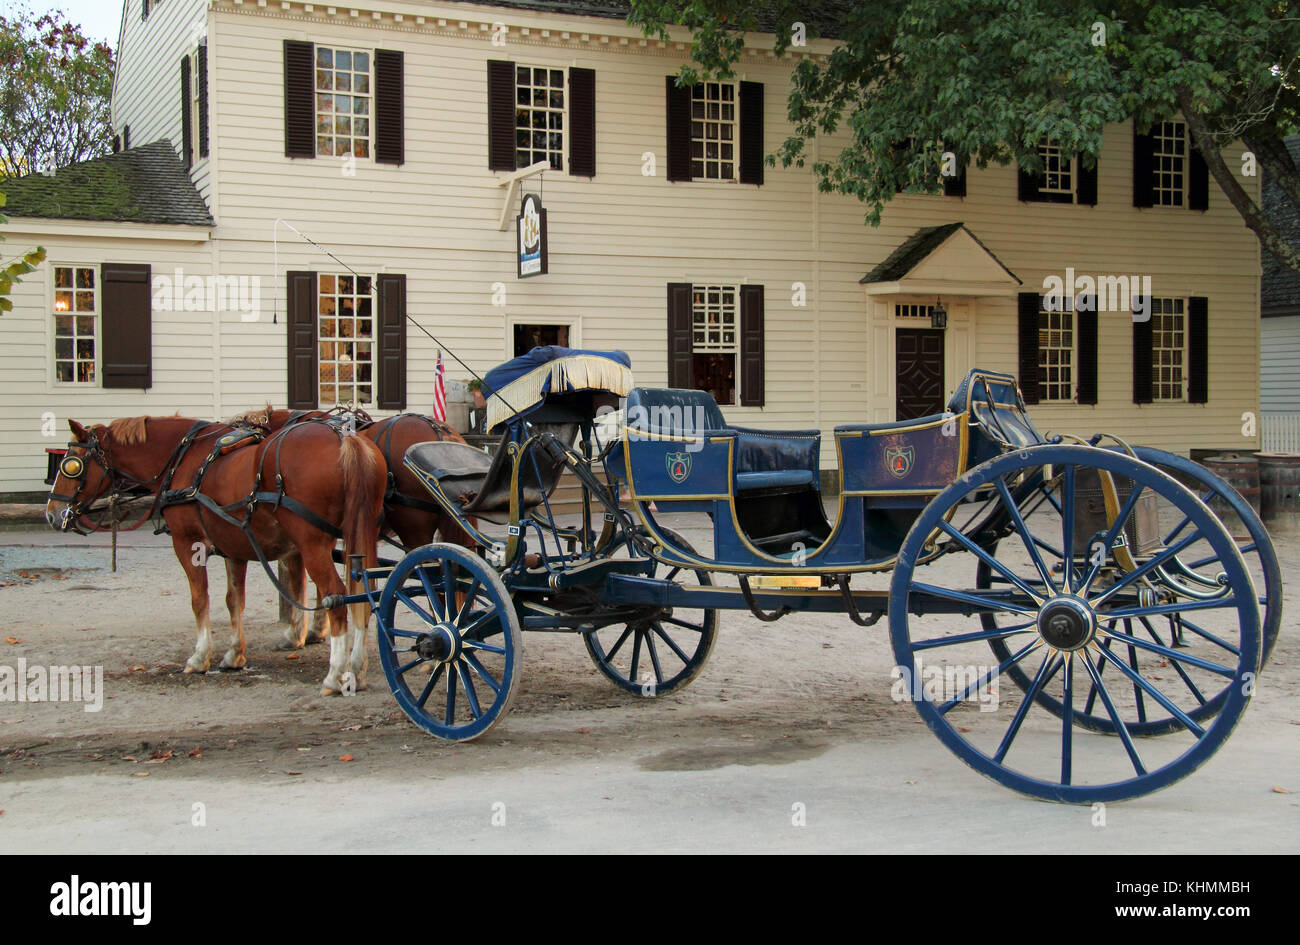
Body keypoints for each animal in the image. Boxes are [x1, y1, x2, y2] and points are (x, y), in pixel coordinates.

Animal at [46, 414, 385, 694]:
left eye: (71, 465)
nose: (52, 513)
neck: (185, 459)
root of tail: (345, 437)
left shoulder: (187, 543)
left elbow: (199, 600)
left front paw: (199, 656)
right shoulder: (235, 546)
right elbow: (234, 600)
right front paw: (234, 653)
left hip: (312, 544)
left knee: (337, 598)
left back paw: (335, 674)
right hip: (359, 535)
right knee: (364, 594)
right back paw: (356, 669)